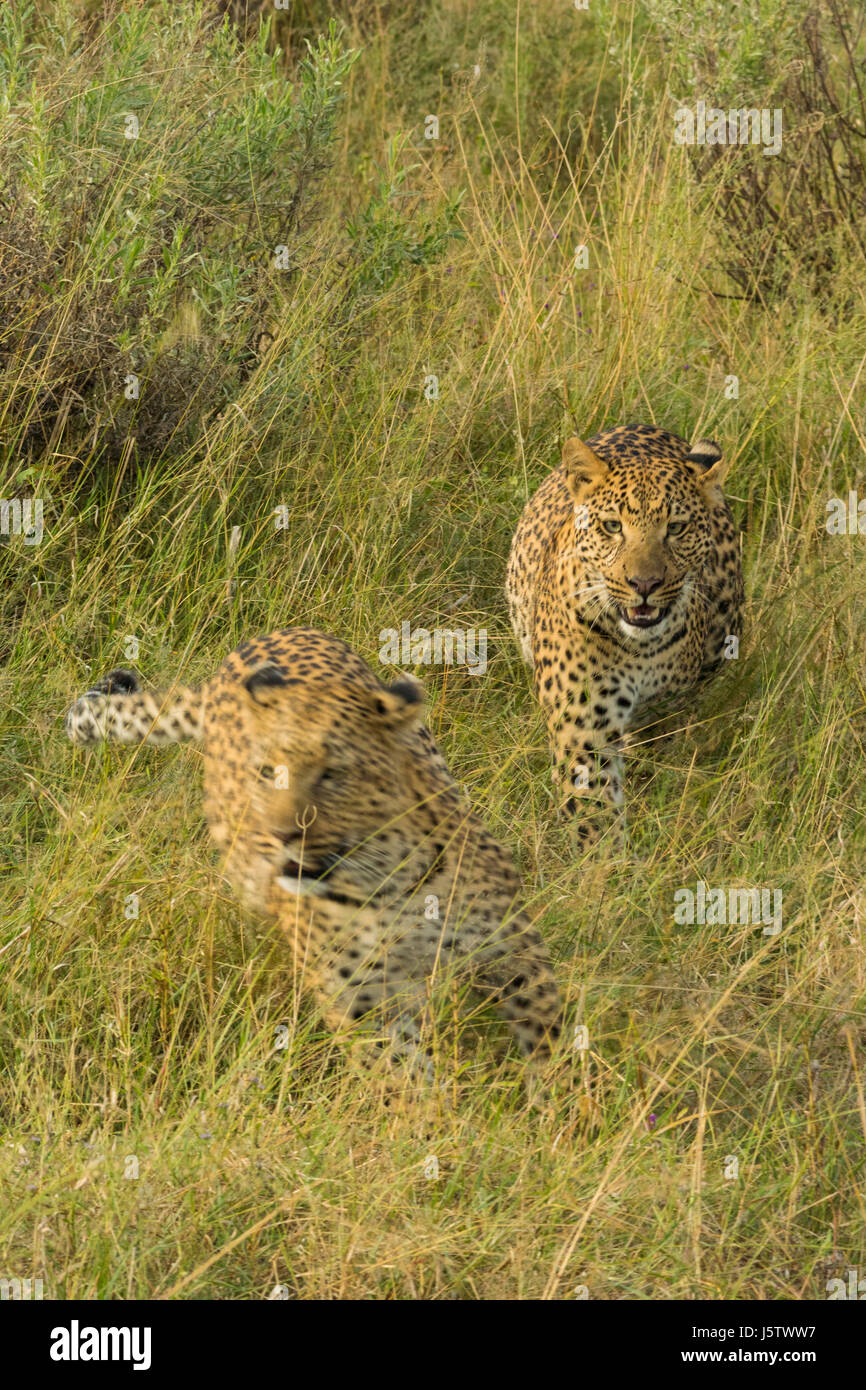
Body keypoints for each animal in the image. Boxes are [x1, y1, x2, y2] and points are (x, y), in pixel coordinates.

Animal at [65, 628, 563, 1077]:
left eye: (333, 774)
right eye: (265, 771)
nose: (280, 833)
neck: (388, 883)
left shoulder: (512, 946)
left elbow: (549, 1036)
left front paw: (561, 1100)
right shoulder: (362, 1005)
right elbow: (401, 1078)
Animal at [505, 423, 743, 835]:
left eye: (676, 528)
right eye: (612, 526)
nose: (644, 583)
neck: (639, 648)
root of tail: (642, 426)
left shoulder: (665, 709)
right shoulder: (581, 724)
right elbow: (590, 802)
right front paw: (601, 846)